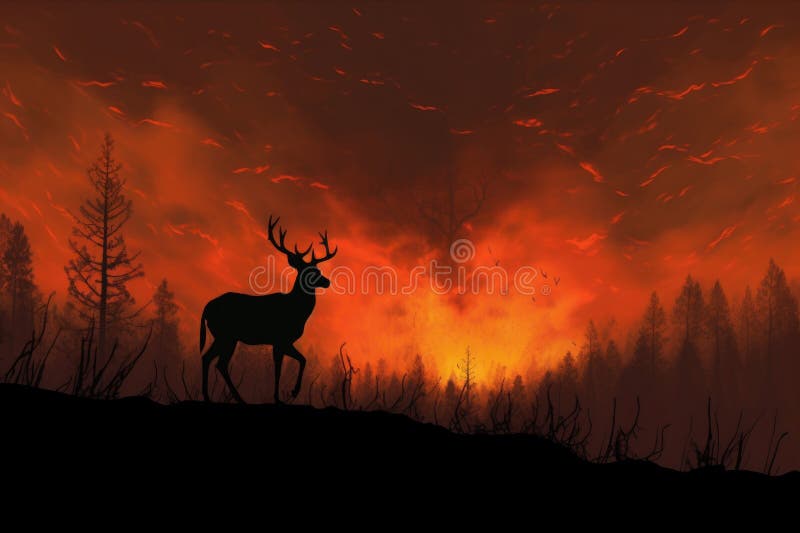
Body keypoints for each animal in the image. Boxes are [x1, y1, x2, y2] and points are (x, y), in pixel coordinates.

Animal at [199, 215, 337, 404]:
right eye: (307, 272)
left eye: (318, 270)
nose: (327, 281)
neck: (297, 312)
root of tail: (206, 308)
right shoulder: (280, 339)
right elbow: (278, 369)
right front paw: (282, 396)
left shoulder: (285, 341)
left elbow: (303, 359)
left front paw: (293, 392)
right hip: (225, 335)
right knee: (218, 362)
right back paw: (236, 398)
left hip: (224, 336)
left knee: (210, 359)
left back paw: (212, 397)